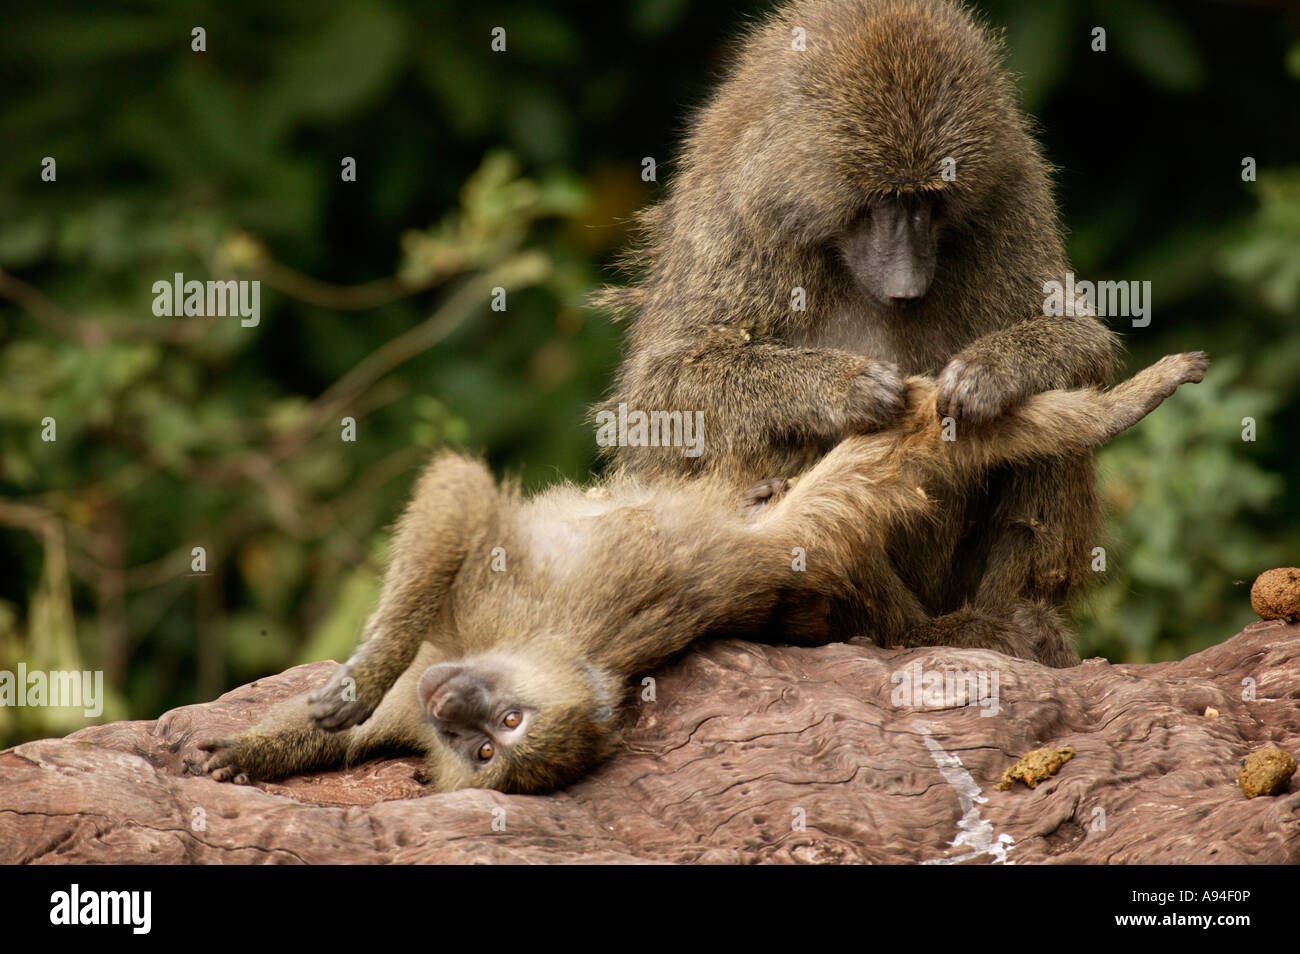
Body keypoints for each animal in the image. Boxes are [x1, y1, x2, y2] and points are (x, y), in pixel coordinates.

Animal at [194, 353, 1206, 795]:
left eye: (499, 741)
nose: (456, 712)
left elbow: (459, 494)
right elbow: (457, 497)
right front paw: (272, 738)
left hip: (812, 531)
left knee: (923, 439)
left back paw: (1115, 406)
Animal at [594, 0, 1121, 664]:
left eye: (929, 201)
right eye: (880, 200)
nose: (906, 282)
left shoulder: (1009, 194)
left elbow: (1079, 338)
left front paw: (989, 375)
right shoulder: (737, 216)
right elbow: (662, 390)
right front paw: (846, 389)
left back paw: (1012, 624)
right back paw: (914, 633)